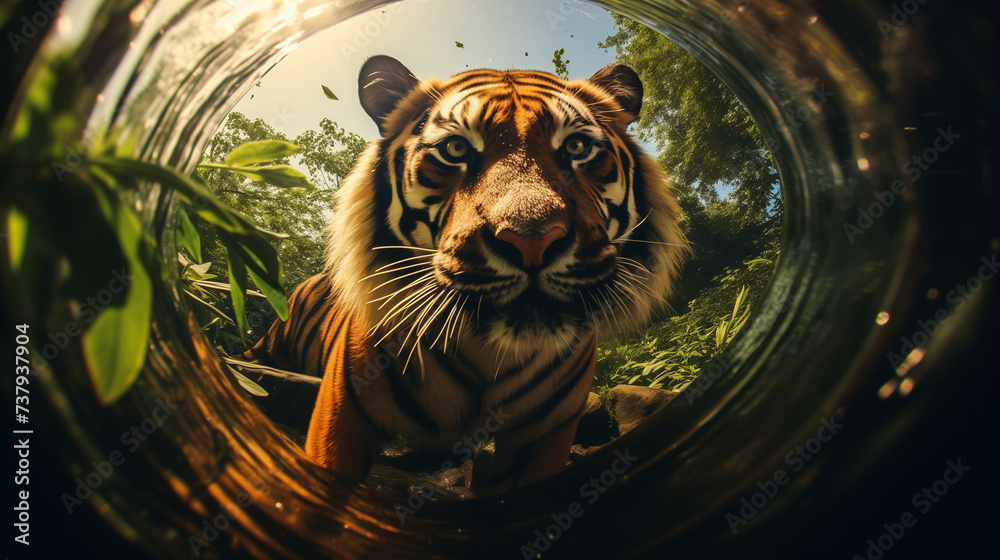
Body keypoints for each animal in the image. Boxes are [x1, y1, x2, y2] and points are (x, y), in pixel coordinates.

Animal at [240, 55, 688, 495]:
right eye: (455, 149)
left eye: (577, 146)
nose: (531, 240)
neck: (487, 351)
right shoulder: (341, 419)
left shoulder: (543, 440)